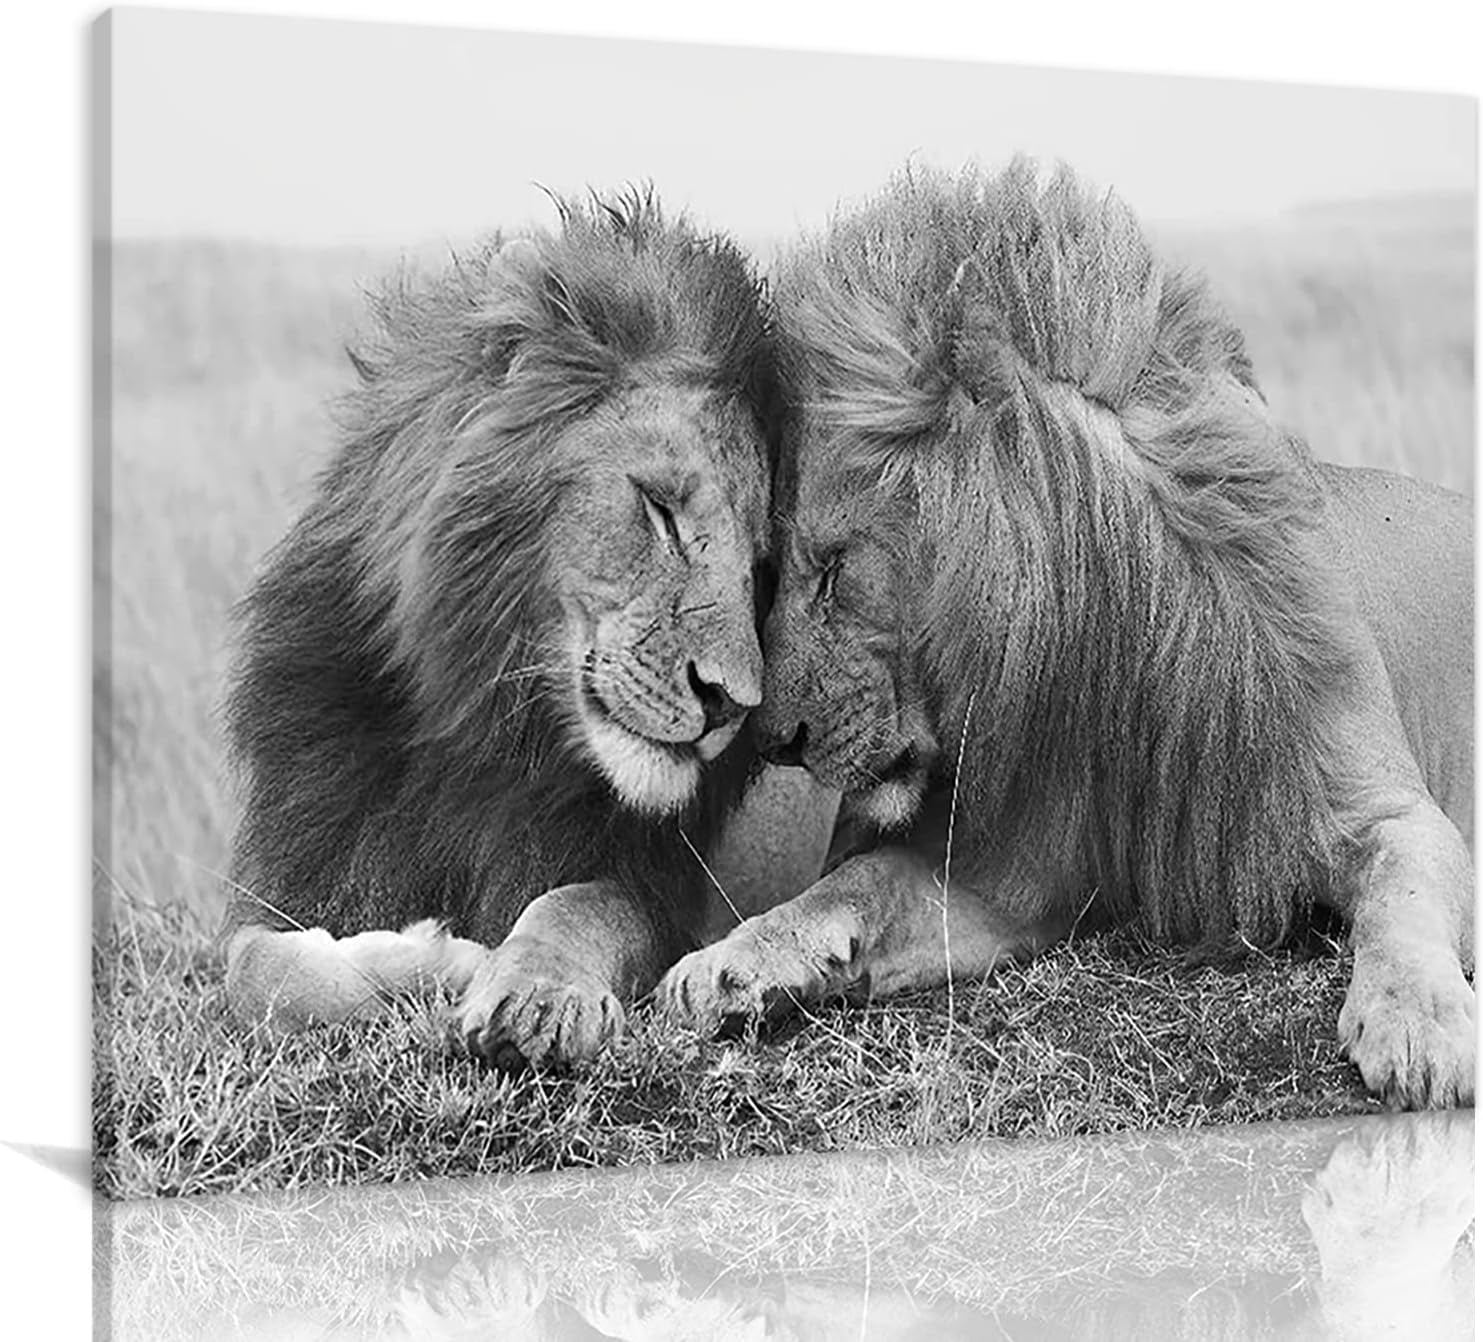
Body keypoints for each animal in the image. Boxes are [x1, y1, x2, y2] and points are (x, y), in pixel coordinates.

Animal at [221, 189, 837, 1069]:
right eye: (660, 511)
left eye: (759, 570)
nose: (730, 704)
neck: (480, 732)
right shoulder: (291, 875)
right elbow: (255, 970)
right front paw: (436, 958)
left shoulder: (651, 885)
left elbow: (571, 906)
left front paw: (533, 995)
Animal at [658, 159, 1475, 1109]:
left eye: (832, 567)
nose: (771, 741)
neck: (1111, 656)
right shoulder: (1015, 876)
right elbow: (854, 887)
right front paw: (730, 964)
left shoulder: (1389, 810)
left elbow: (1402, 900)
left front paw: (1421, 1025)